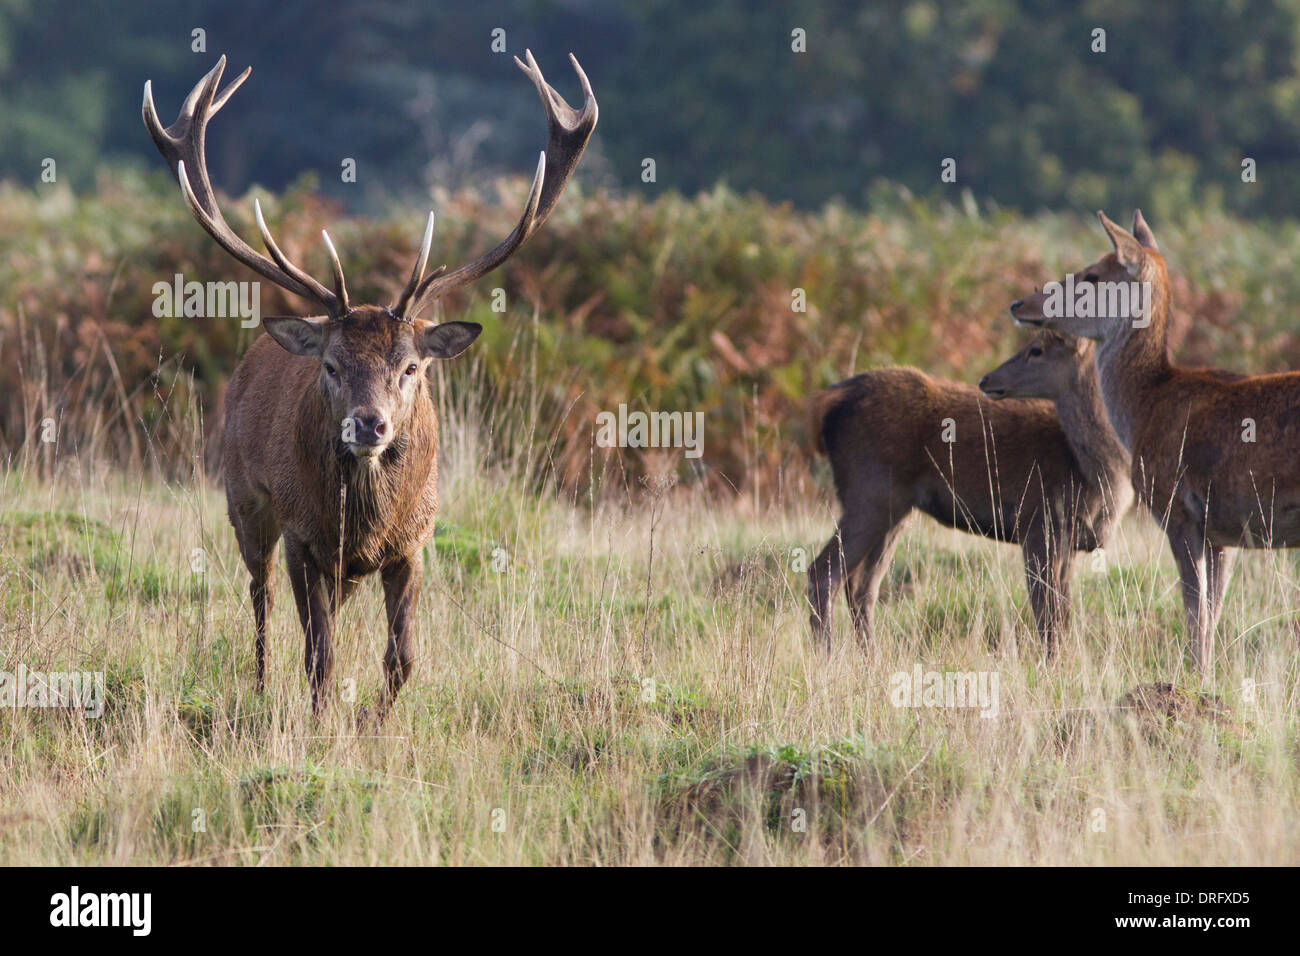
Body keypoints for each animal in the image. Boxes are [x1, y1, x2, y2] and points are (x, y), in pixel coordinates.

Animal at [143, 53, 596, 719]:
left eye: (411, 367)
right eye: (332, 365)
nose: (369, 424)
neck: (366, 524)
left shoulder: (415, 543)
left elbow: (402, 657)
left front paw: (375, 723)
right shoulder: (304, 537)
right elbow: (319, 655)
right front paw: (322, 722)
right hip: (243, 499)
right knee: (260, 597)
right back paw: (259, 684)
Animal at [807, 329, 1131, 657]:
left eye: (1036, 350)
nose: (987, 379)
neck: (1091, 472)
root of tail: (826, 402)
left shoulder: (1068, 542)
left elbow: (1061, 615)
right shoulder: (1038, 524)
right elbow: (1047, 618)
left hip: (896, 509)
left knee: (861, 586)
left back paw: (870, 659)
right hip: (868, 491)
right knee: (824, 572)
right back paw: (828, 657)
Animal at [1010, 209, 1291, 678]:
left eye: (1093, 275)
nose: (1019, 305)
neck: (1144, 406)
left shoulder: (1176, 508)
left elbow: (1196, 612)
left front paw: (1195, 679)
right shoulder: (1225, 533)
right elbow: (1212, 611)